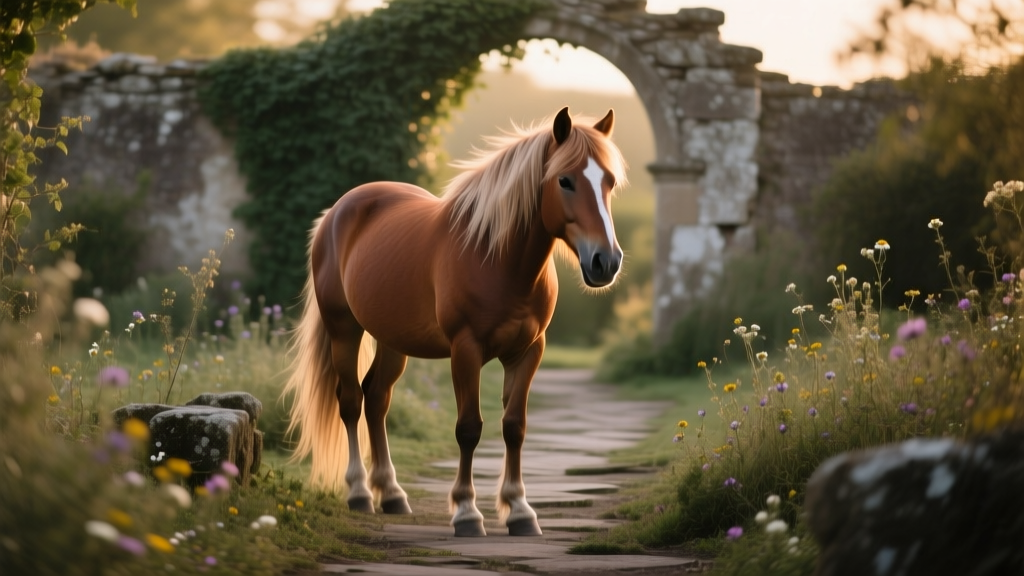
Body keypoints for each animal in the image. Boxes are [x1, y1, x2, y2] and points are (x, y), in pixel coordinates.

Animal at [283, 107, 627, 537]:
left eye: (610, 182)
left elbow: (514, 427)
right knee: (350, 402)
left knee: (376, 399)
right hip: (343, 329)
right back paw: (360, 492)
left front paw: (520, 511)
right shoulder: (466, 350)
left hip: (392, 340)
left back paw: (391, 494)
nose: (606, 262)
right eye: (565, 180)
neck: (497, 258)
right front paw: (466, 512)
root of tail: (337, 211)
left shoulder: (529, 351)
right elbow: (469, 428)